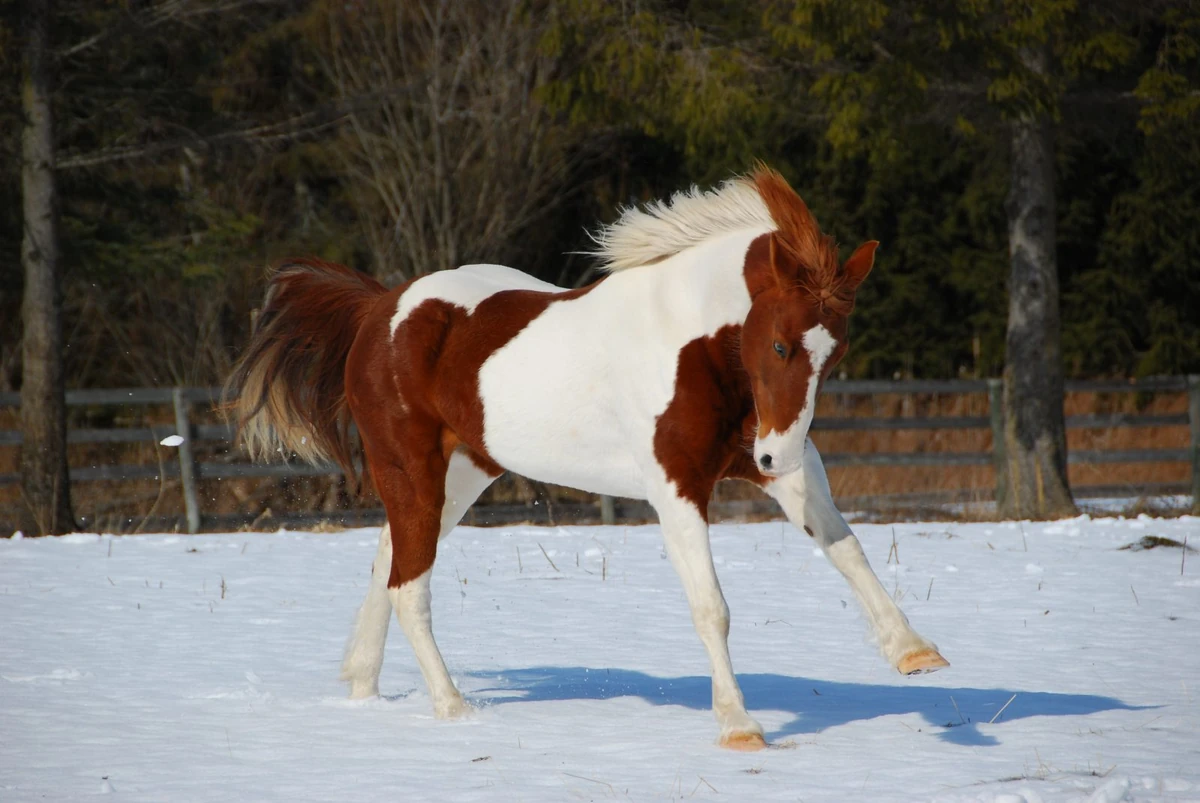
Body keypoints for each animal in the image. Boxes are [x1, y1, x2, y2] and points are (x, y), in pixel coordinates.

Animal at [226, 165, 948, 751]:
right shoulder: (678, 486)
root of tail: (380, 306)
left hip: (465, 472)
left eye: (837, 349)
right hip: (412, 467)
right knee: (409, 583)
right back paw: (453, 708)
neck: (691, 343)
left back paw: (362, 687)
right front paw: (739, 725)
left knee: (389, 560)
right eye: (777, 344)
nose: (779, 453)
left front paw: (915, 652)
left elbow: (846, 545)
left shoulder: (767, 470)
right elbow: (711, 606)